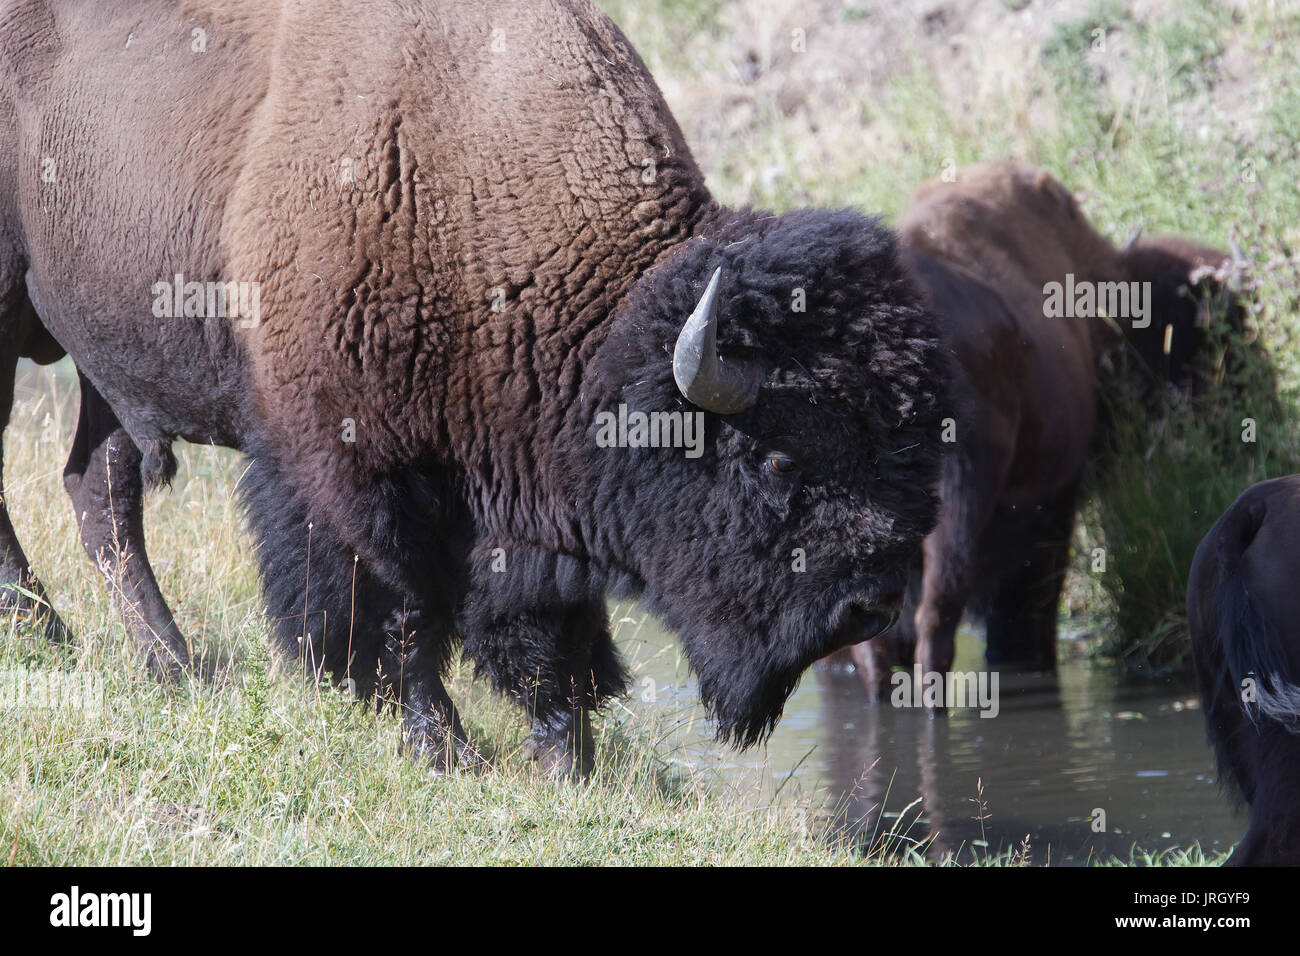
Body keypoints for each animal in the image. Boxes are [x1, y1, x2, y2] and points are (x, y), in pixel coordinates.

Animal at [0, 0, 948, 774]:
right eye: (780, 461)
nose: (868, 607)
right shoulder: (351, 466)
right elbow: (400, 609)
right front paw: (442, 747)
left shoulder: (522, 494)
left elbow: (550, 633)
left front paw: (565, 762)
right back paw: (45, 630)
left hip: (102, 355)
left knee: (100, 488)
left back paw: (173, 667)